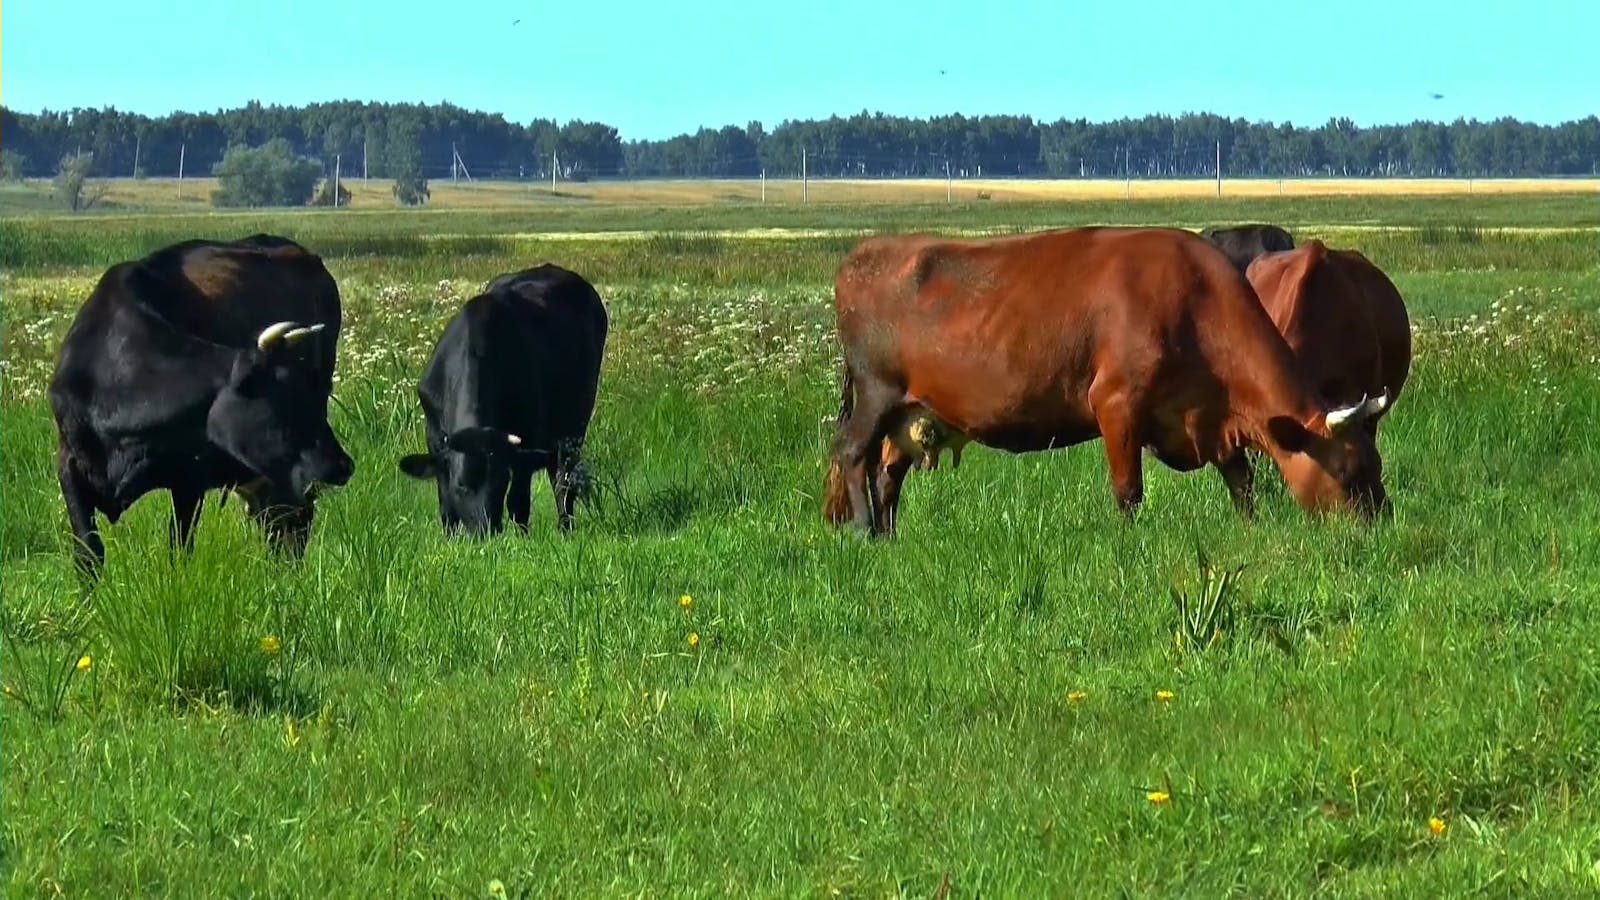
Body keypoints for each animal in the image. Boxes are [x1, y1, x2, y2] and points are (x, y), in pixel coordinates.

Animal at [49, 234, 354, 583]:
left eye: (312, 396)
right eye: (284, 401)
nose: (344, 464)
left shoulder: (190, 476)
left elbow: (179, 549)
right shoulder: (68, 464)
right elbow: (89, 553)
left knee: (291, 521)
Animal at [398, 263, 608, 536]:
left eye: (500, 482)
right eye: (461, 485)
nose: (486, 531)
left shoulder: (528, 441)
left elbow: (519, 502)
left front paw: (522, 538)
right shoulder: (434, 437)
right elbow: (445, 505)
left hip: (573, 429)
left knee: (563, 480)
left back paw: (565, 528)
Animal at [821, 226, 1392, 536]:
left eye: (1376, 463)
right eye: (1348, 472)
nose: (1381, 526)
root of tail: (864, 254)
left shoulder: (1212, 417)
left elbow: (1241, 481)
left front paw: (1251, 529)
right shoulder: (1117, 405)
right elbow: (1128, 491)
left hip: (913, 410)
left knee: (888, 471)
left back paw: (891, 536)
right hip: (875, 392)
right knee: (852, 453)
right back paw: (865, 531)